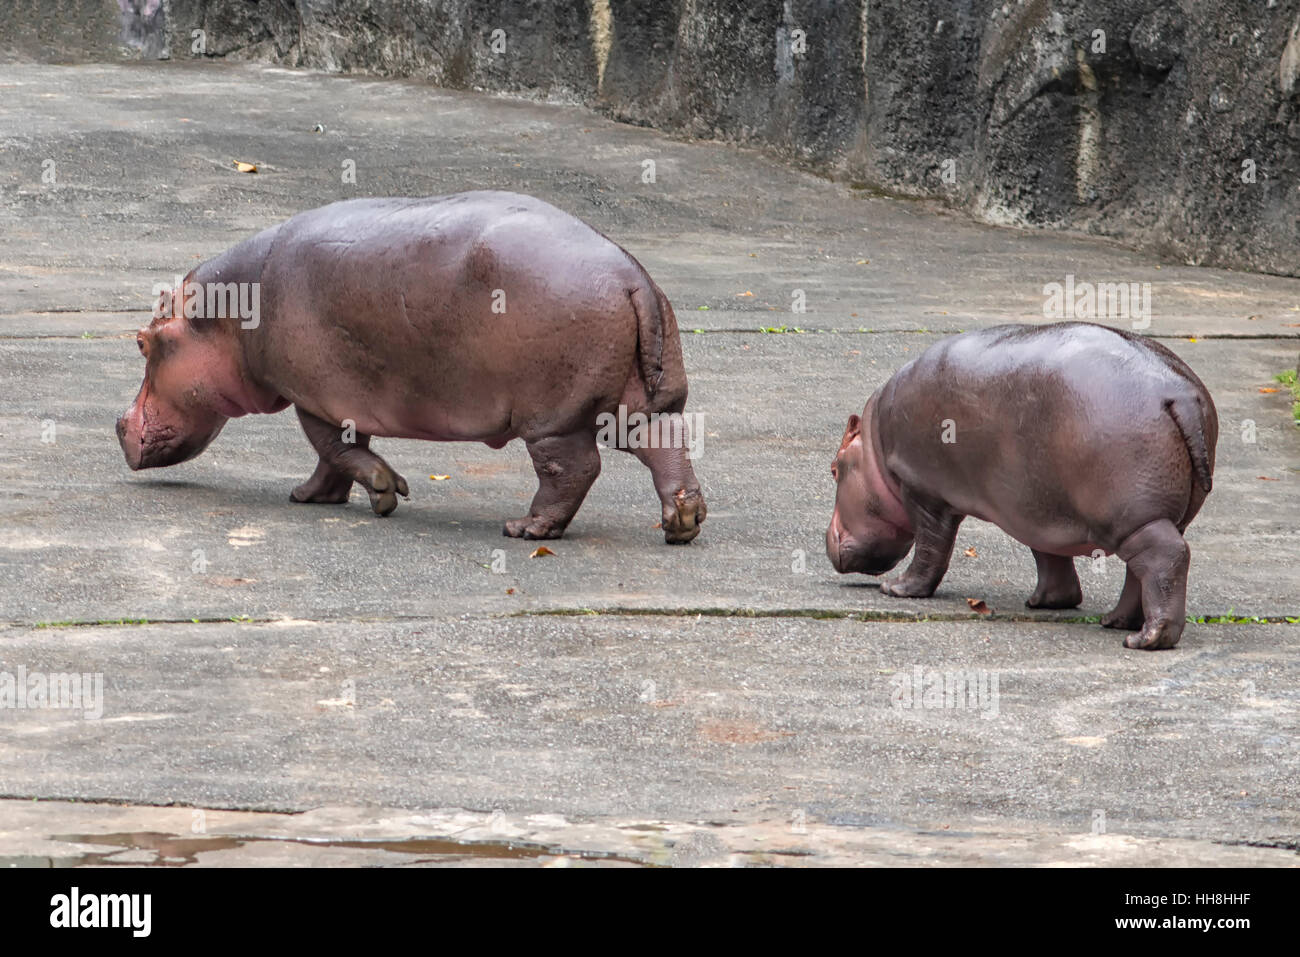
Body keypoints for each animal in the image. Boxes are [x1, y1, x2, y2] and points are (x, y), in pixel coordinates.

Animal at [117, 191, 706, 543]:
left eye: (143, 343)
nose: (118, 425)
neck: (227, 319)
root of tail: (632, 277)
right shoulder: (332, 396)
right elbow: (334, 456)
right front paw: (312, 497)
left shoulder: (314, 396)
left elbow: (335, 448)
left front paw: (382, 492)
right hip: (637, 404)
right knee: (666, 447)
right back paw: (682, 524)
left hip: (552, 418)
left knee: (573, 469)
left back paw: (525, 529)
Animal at [826, 322, 1218, 650]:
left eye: (833, 469)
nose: (827, 540)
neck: (875, 445)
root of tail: (1179, 393)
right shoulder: (1037, 508)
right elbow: (1048, 555)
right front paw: (1045, 603)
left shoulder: (924, 491)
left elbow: (930, 549)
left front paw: (897, 589)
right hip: (1148, 517)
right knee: (1139, 570)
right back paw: (1116, 622)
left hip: (1131, 516)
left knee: (1165, 557)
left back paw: (1145, 640)